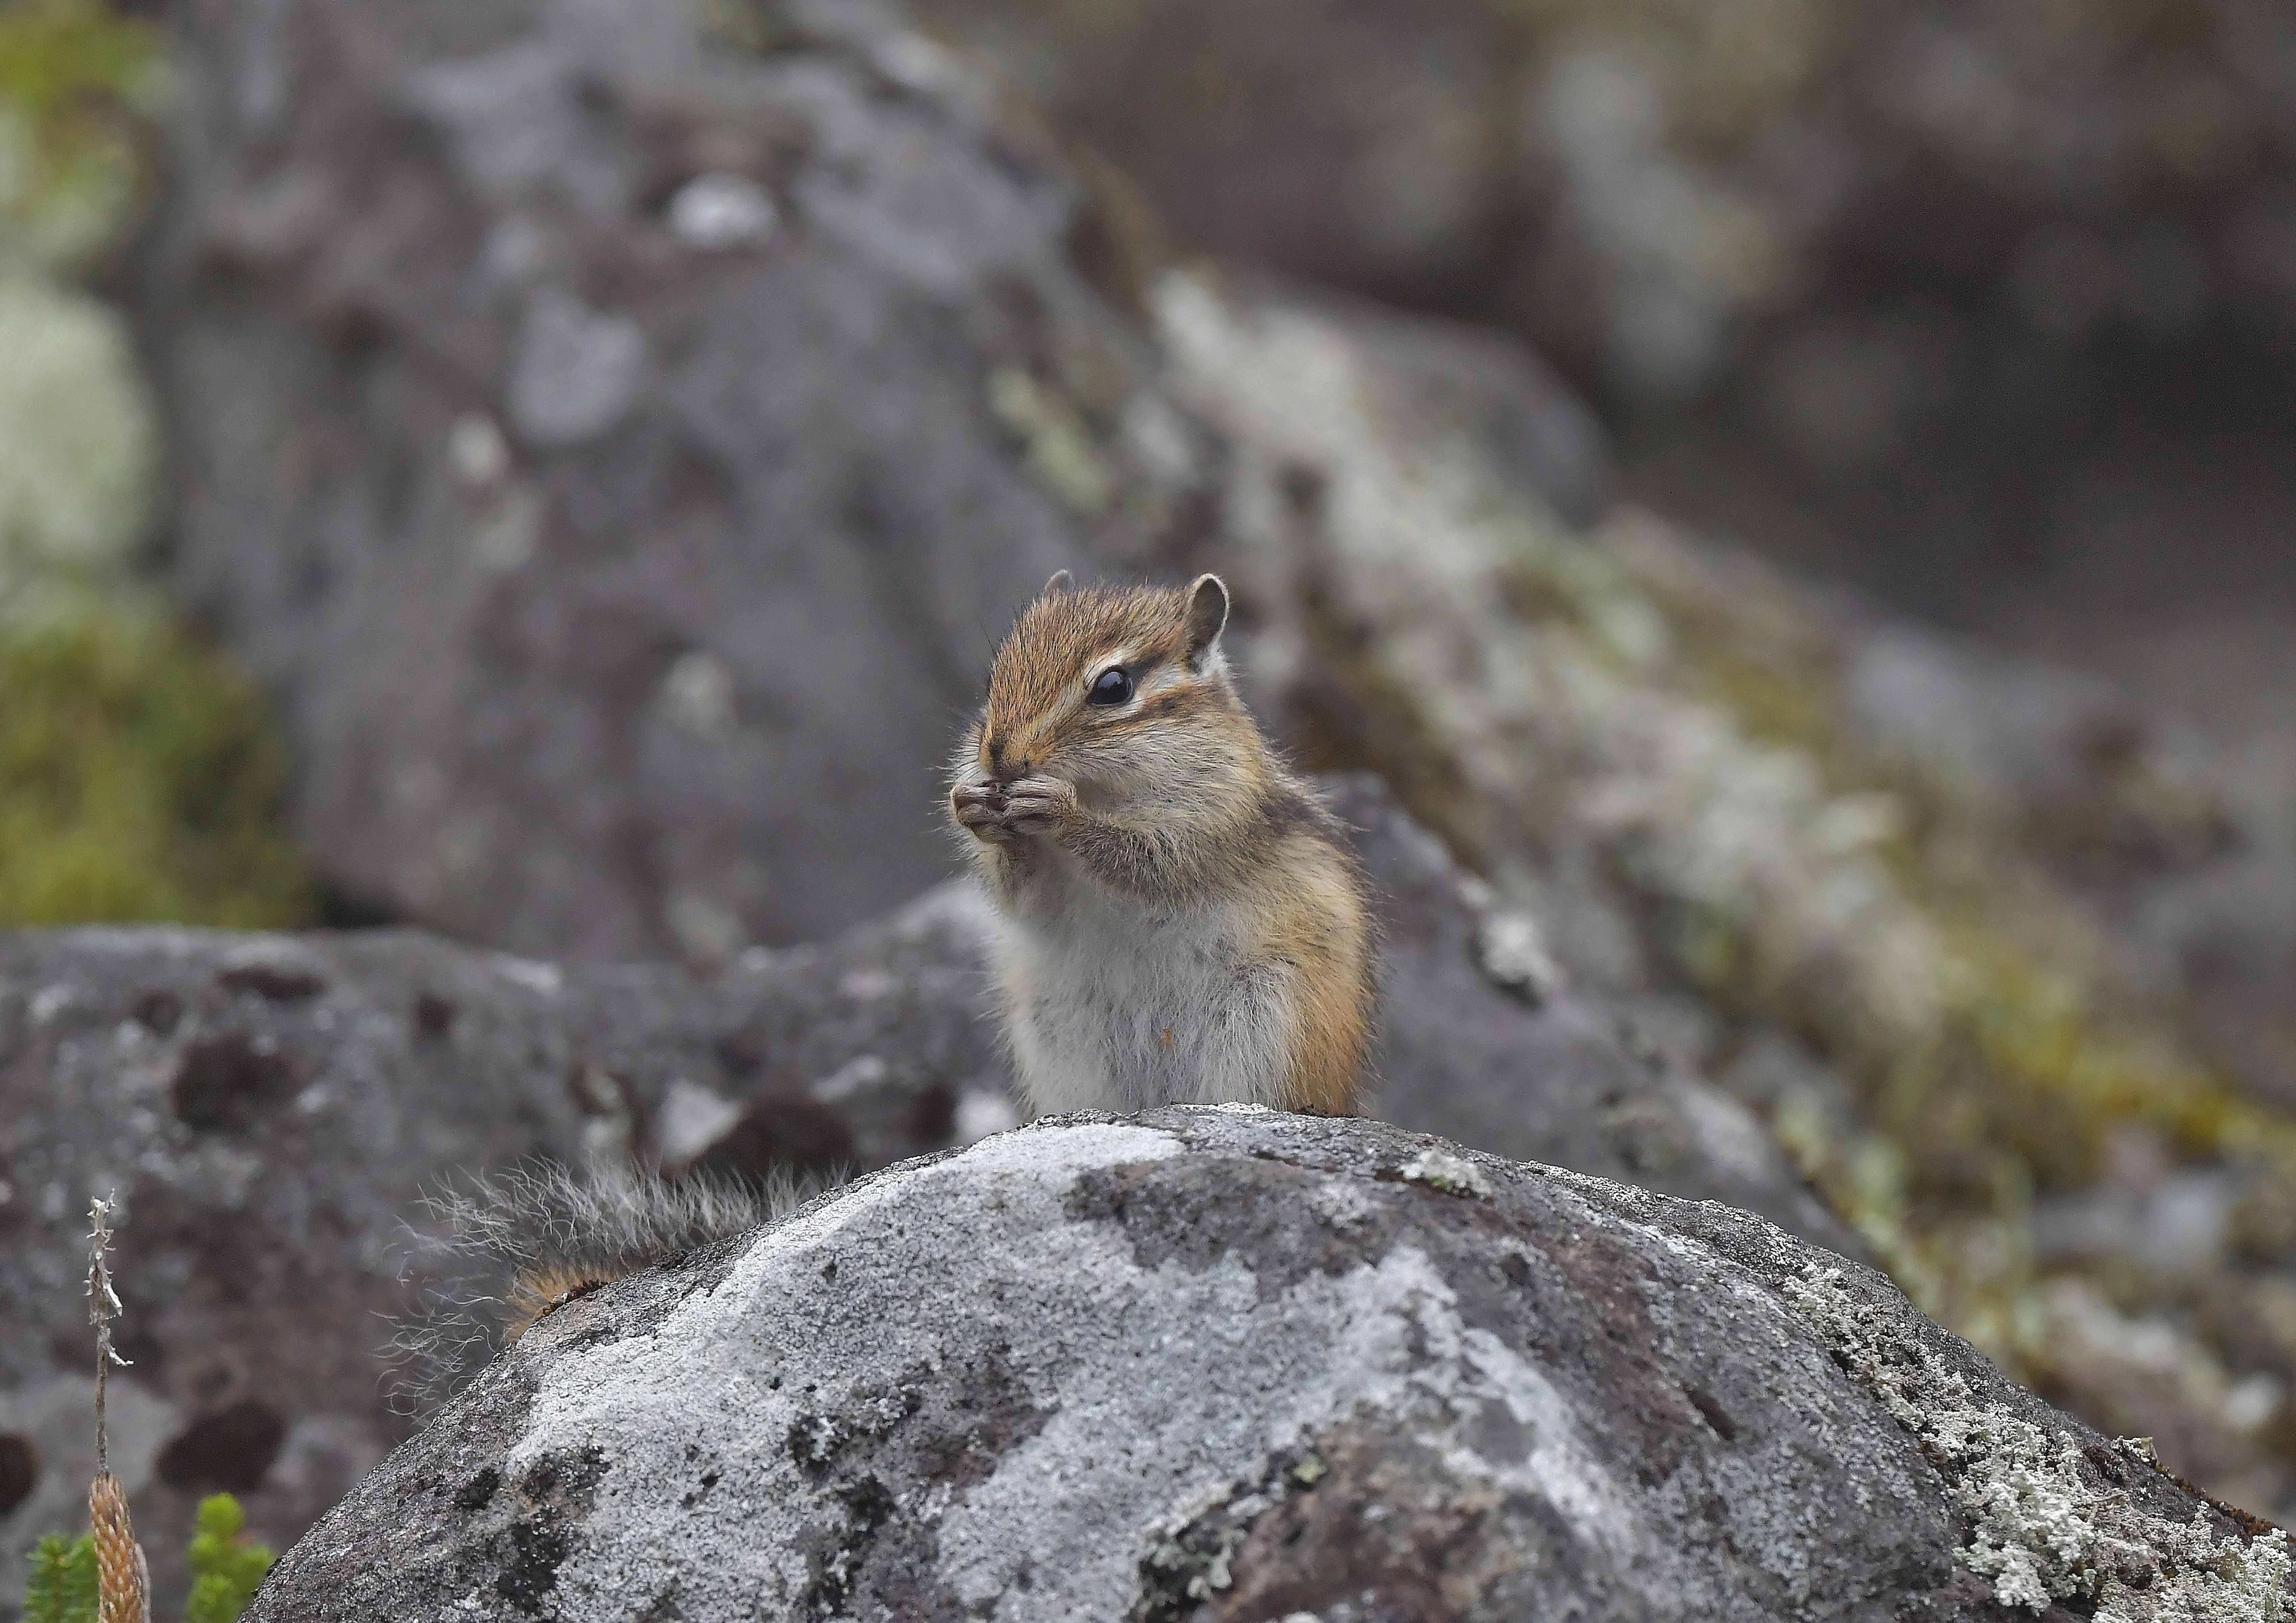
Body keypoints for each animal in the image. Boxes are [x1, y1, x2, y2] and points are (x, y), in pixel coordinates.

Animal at [948, 572, 1376, 1117]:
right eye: (993, 680)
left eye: (1113, 687)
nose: (998, 757)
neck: (1102, 789)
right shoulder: (1046, 894)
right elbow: (1026, 897)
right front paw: (973, 807)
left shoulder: (1210, 821)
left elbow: (1148, 863)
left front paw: (1061, 811)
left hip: (1268, 1023)